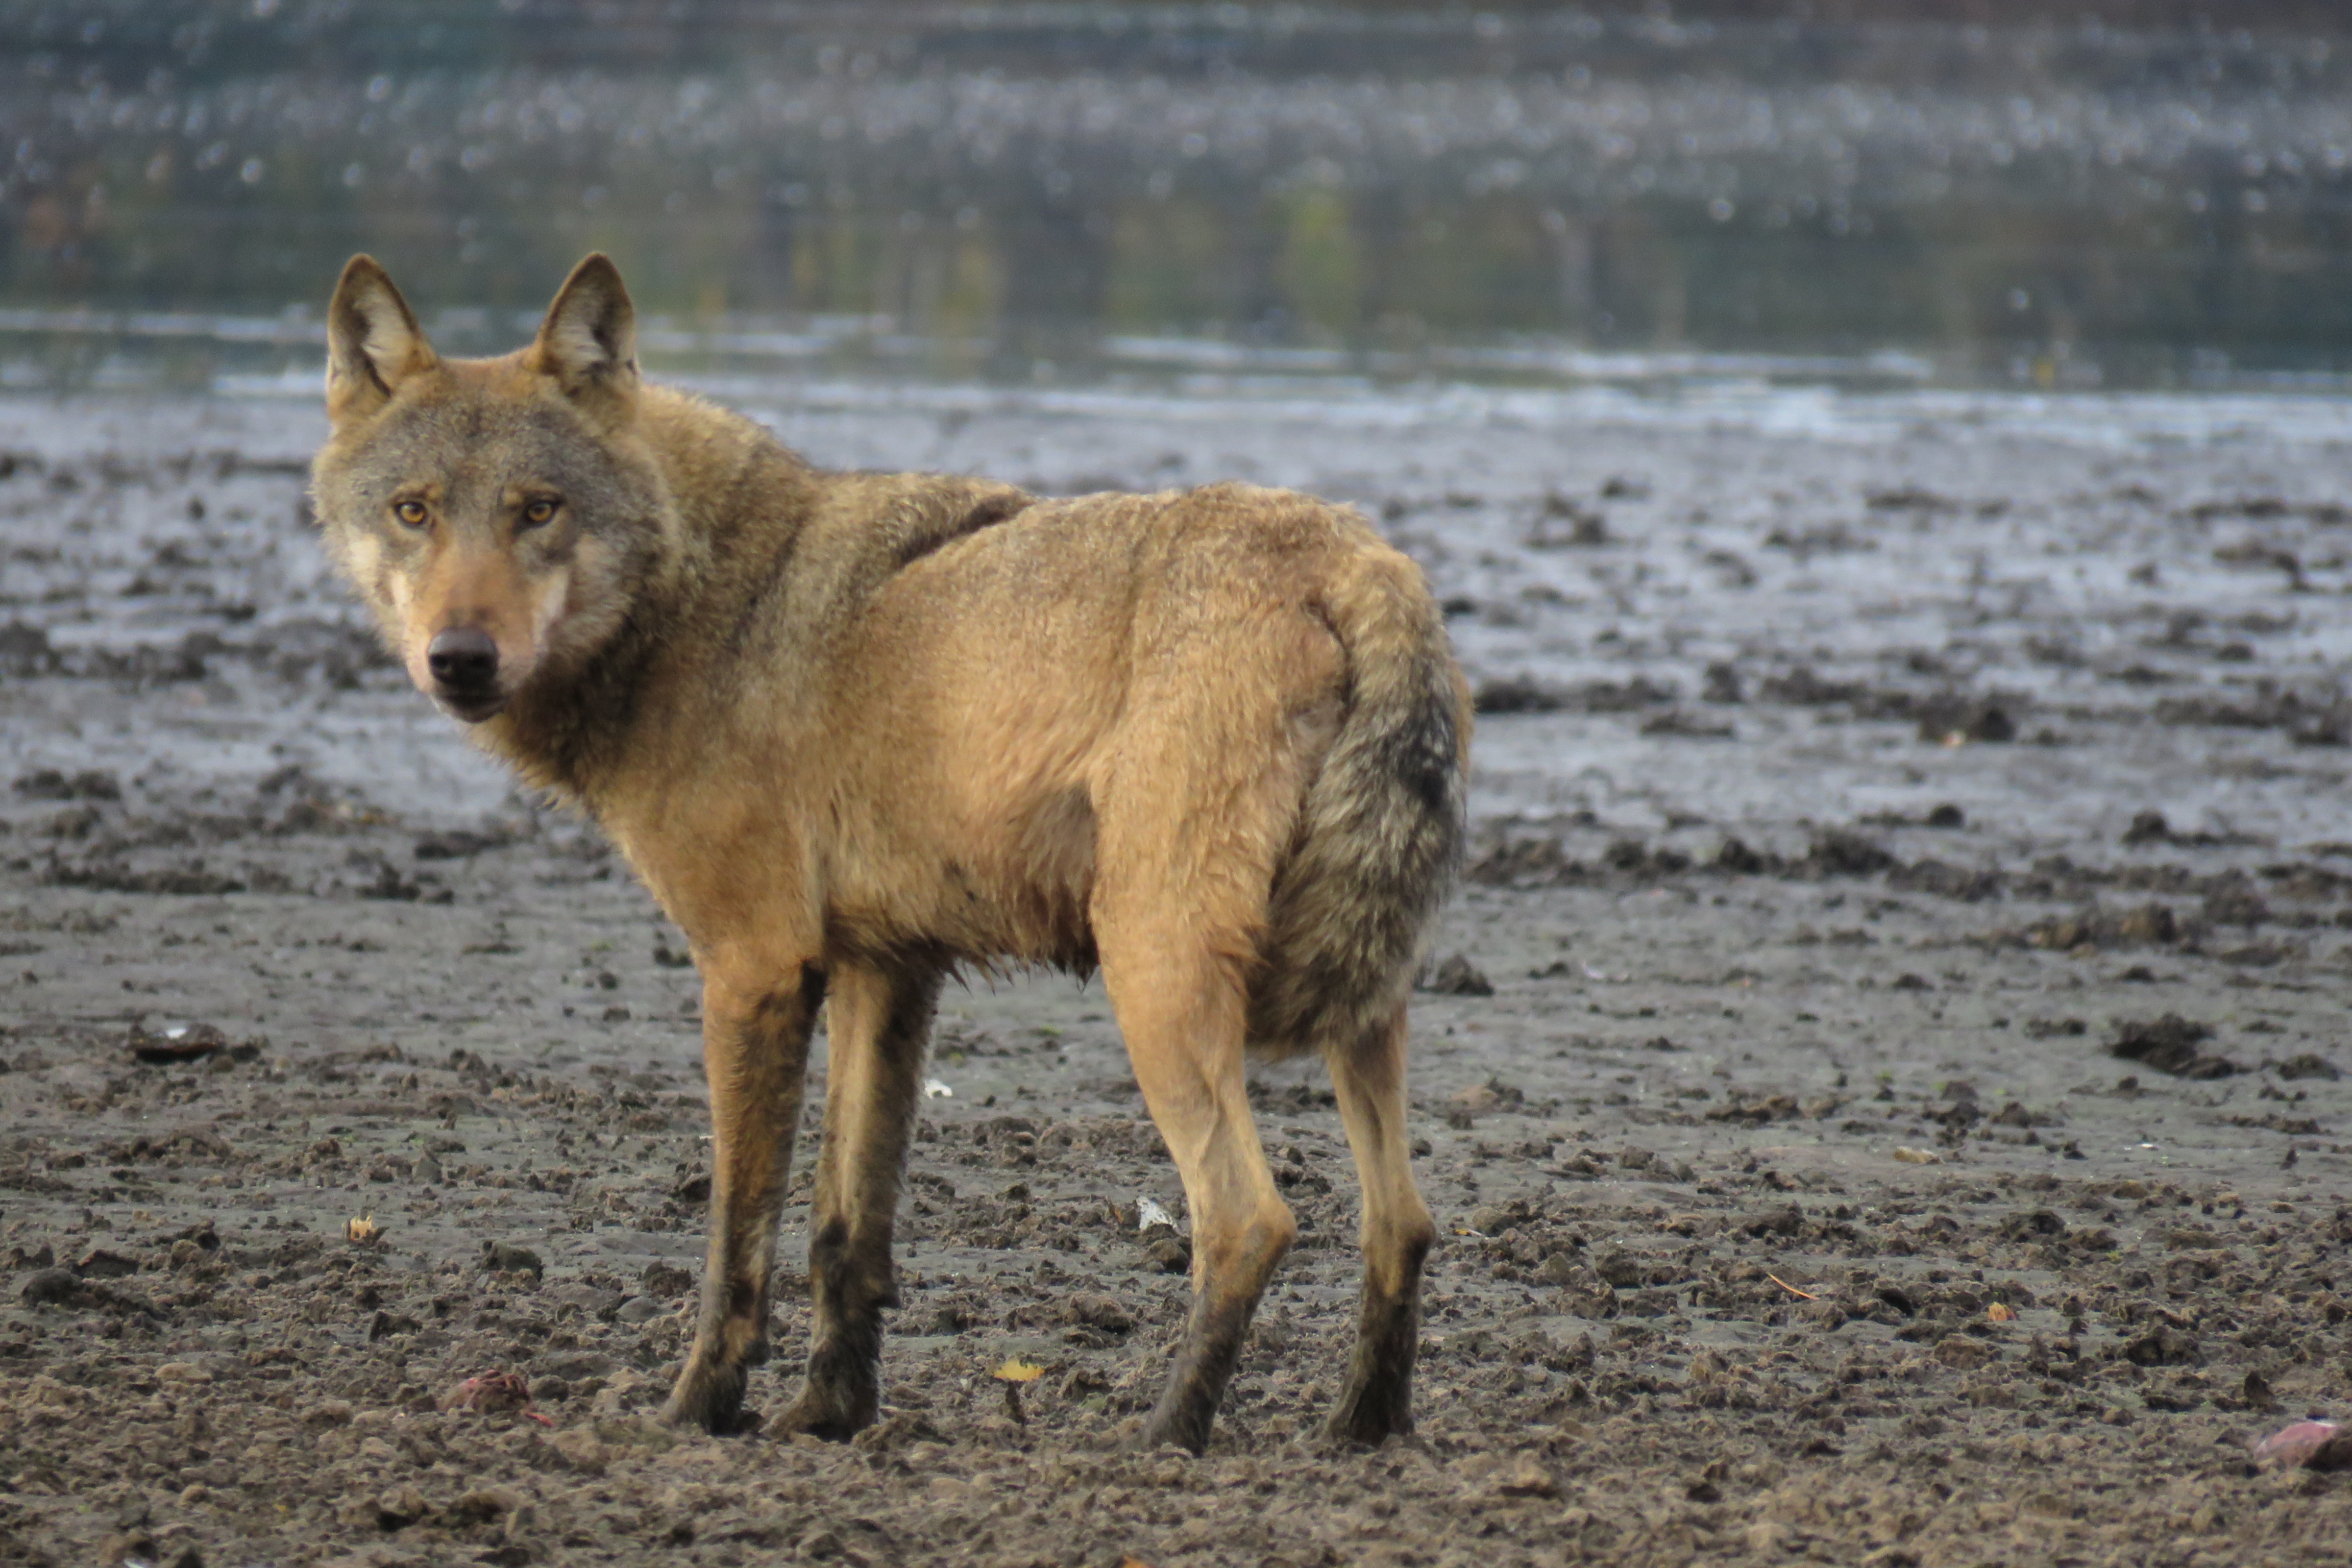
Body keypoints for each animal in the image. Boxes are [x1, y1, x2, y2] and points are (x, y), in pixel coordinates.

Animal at [308, 253, 1471, 1455]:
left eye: (538, 510)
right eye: (414, 512)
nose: (458, 658)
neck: (704, 602)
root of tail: (1353, 557)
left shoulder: (753, 971)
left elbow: (737, 1237)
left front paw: (696, 1411)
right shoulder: (887, 974)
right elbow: (845, 1228)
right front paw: (829, 1414)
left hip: (1156, 983)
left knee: (1252, 1218)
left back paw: (1162, 1436)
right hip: (1358, 1008)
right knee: (1404, 1222)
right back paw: (1361, 1432)